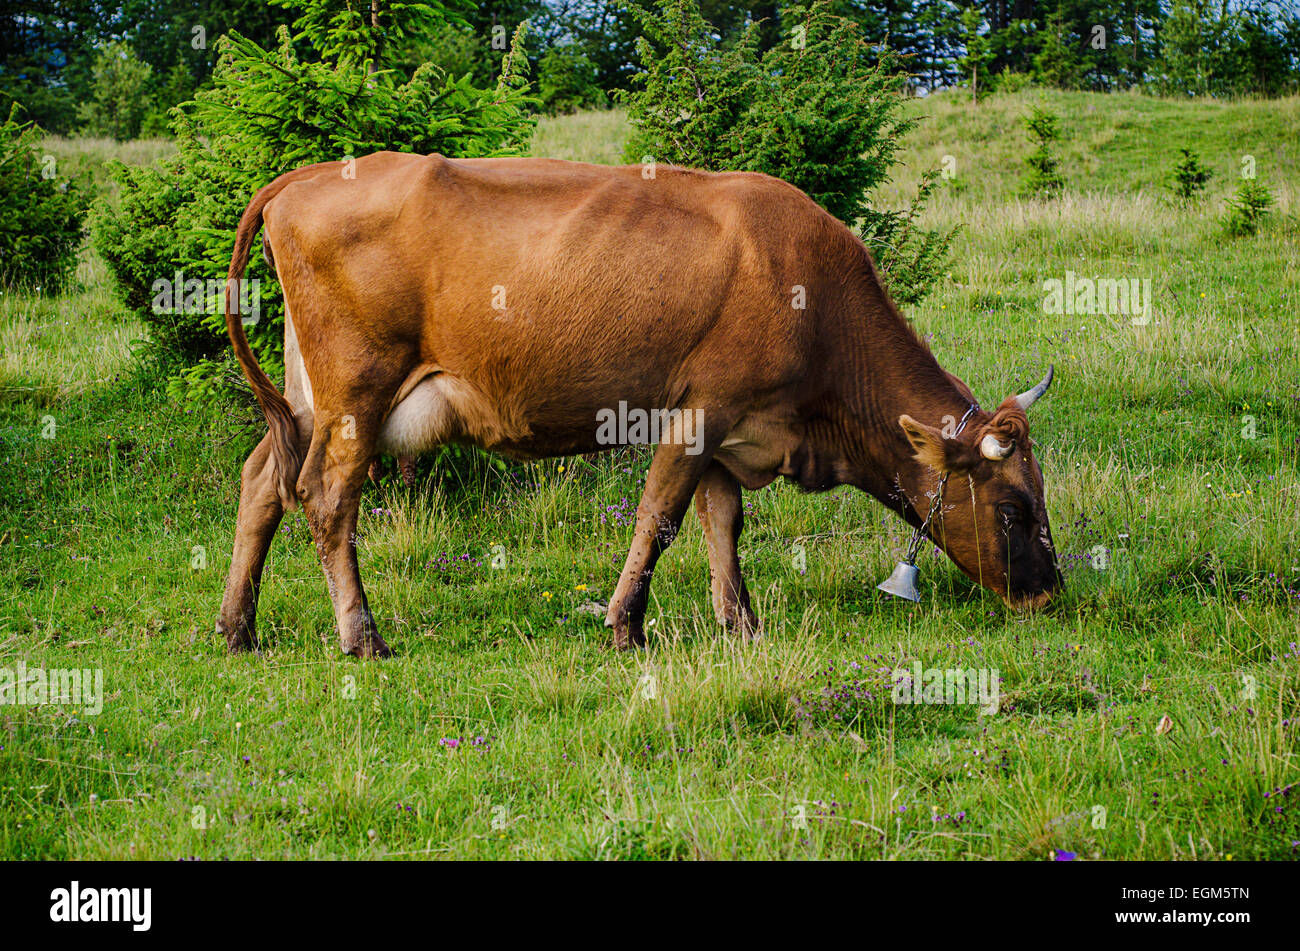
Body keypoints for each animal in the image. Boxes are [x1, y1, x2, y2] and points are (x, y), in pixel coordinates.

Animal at [215, 152, 1060, 658]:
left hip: (307, 394)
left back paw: (237, 627)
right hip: (357, 387)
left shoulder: (732, 428)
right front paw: (625, 624)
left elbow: (724, 522)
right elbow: (661, 516)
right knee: (326, 495)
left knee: (262, 479)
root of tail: (304, 177)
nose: (1050, 593)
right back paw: (362, 636)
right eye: (1013, 508)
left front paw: (740, 621)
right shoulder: (699, 412)